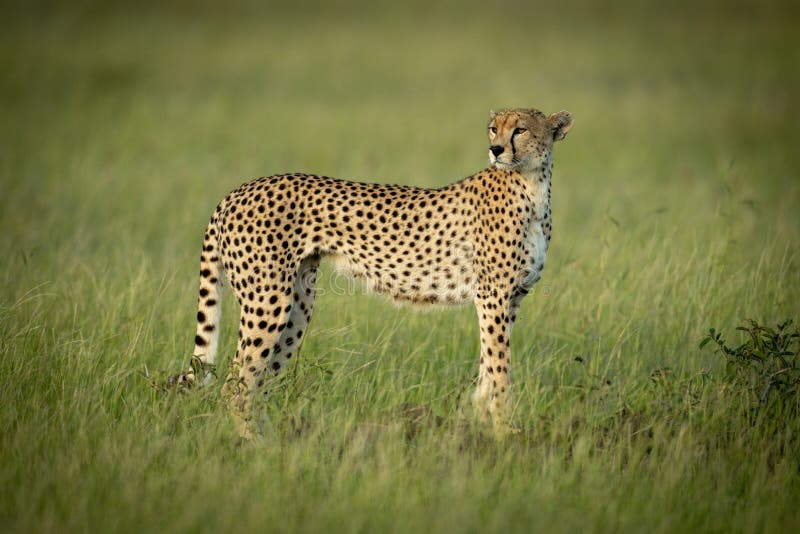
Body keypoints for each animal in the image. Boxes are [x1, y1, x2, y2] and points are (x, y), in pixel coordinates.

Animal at [171, 107, 574, 439]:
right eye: (494, 128)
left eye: (520, 129)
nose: (496, 149)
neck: (532, 185)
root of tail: (238, 190)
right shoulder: (493, 298)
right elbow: (500, 370)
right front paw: (505, 434)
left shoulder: (509, 301)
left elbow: (488, 369)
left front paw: (481, 429)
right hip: (268, 301)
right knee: (235, 386)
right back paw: (255, 448)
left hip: (296, 307)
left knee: (256, 383)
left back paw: (272, 444)